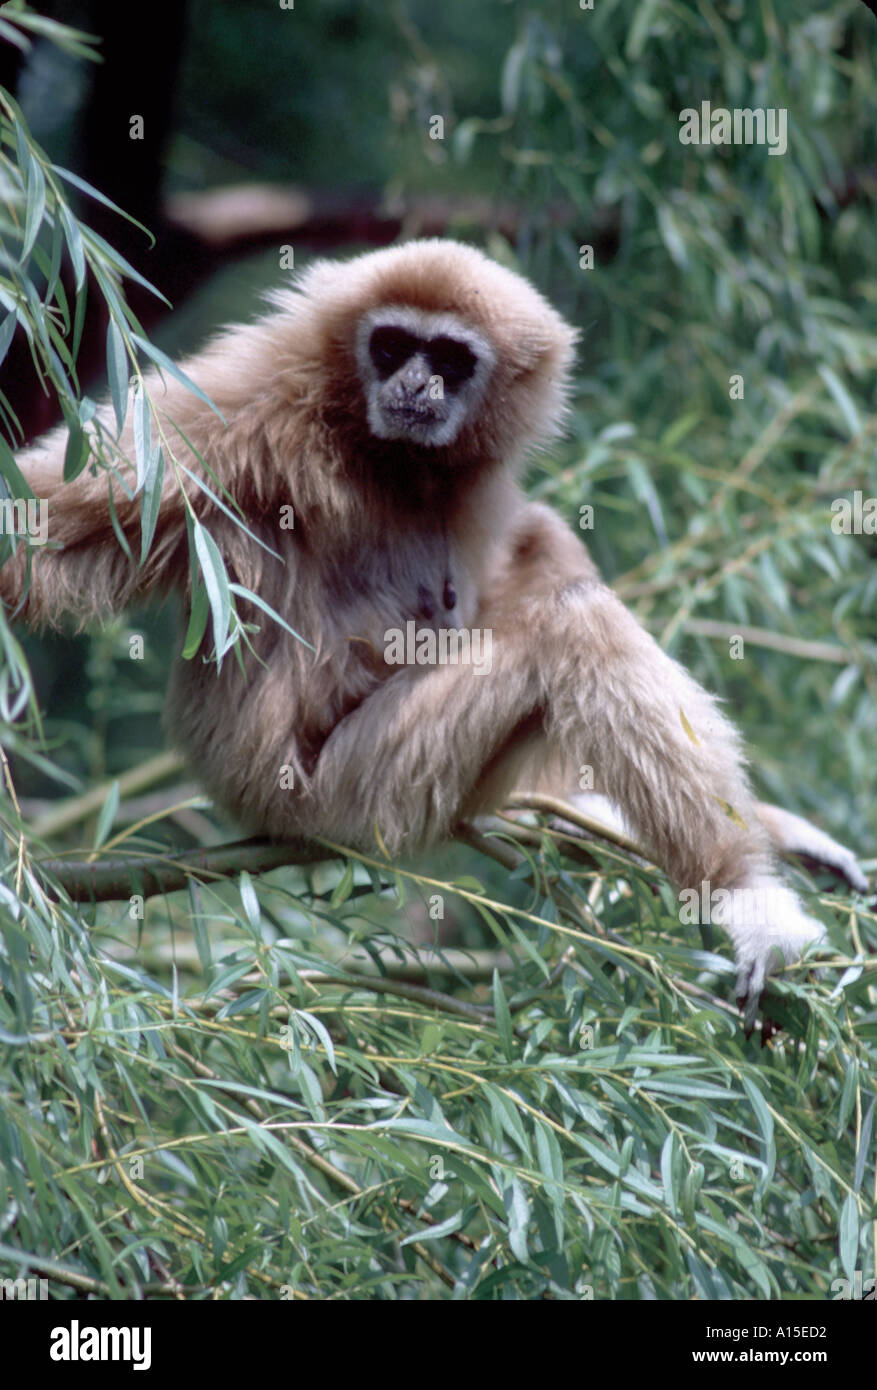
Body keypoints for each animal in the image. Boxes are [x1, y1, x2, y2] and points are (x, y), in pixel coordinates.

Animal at [0, 238, 866, 1028]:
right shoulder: (242, 407)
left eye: (449, 357)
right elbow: (46, 528)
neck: (375, 449)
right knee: (569, 623)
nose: (415, 381)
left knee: (547, 552)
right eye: (390, 346)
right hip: (338, 795)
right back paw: (745, 903)